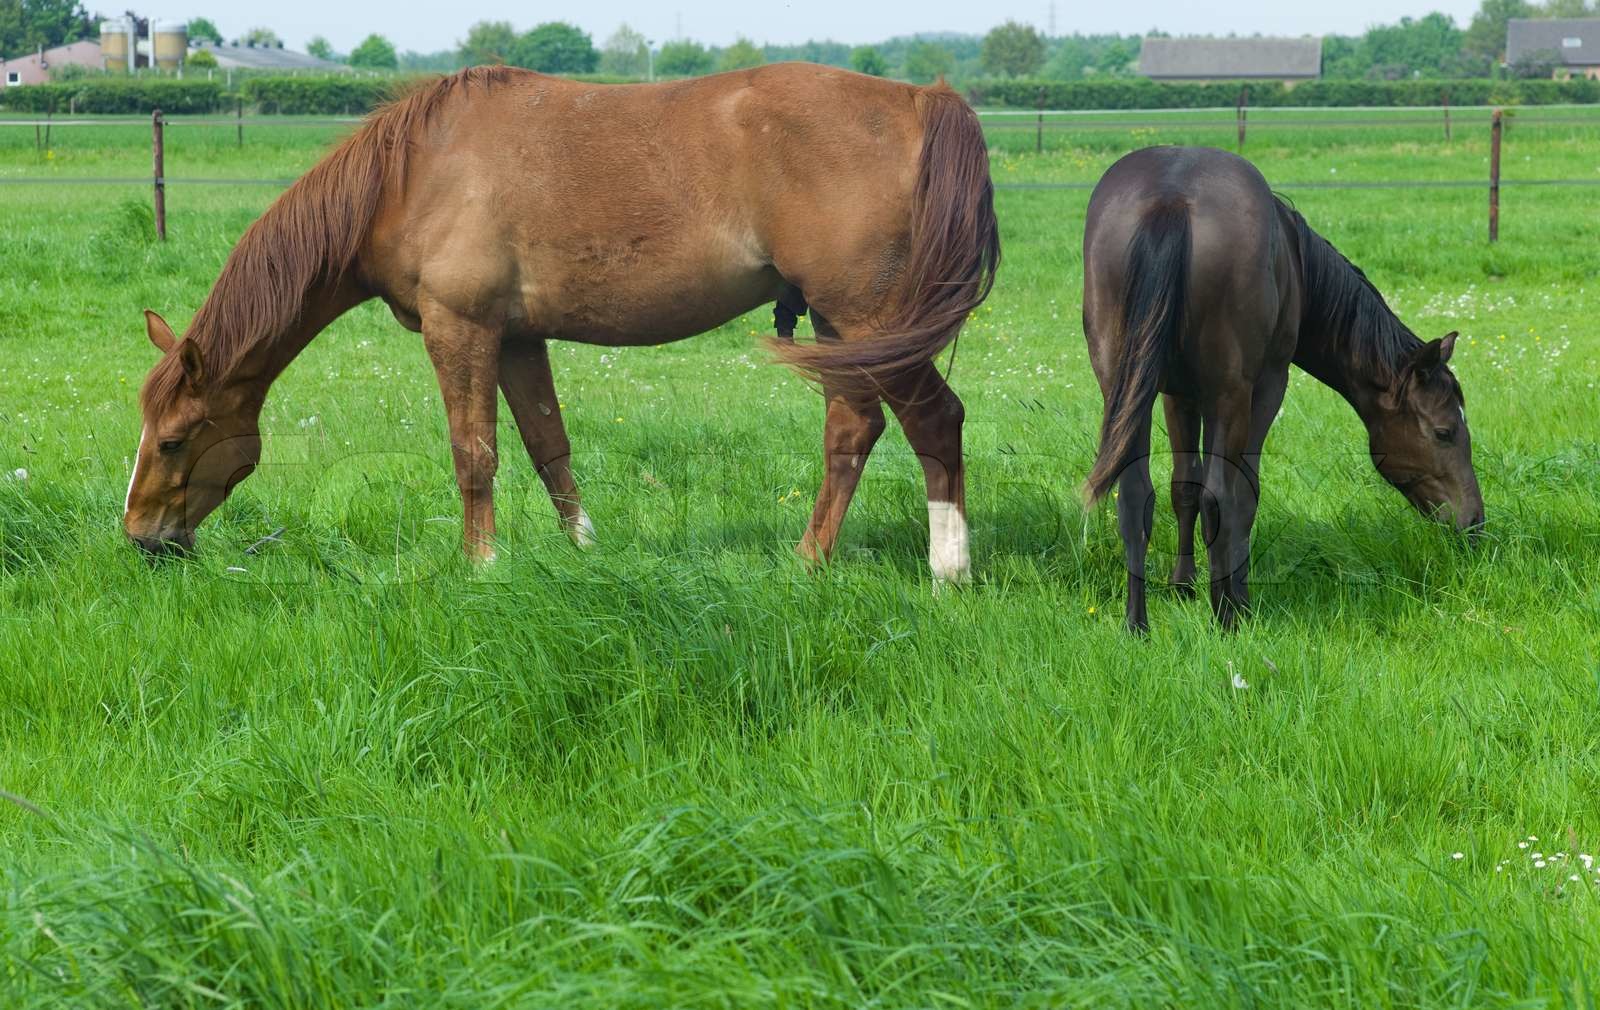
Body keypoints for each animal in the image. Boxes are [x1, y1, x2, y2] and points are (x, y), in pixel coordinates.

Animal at [123, 64, 1000, 583]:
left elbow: (474, 453)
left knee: (933, 421)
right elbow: (549, 448)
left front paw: (479, 565)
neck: (410, 174)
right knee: (853, 432)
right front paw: (582, 550)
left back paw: (947, 569)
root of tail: (920, 101)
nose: (138, 536)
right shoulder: (516, 338)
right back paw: (810, 561)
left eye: (174, 439)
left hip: (867, 322)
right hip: (839, 329)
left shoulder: (461, 330)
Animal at [1082, 146, 1483, 633]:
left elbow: (1184, 488)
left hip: (1124, 395)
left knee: (1135, 494)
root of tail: (1170, 199)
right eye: (1445, 432)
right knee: (1221, 494)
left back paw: (1137, 625)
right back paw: (1227, 617)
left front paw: (1183, 586)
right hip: (1231, 395)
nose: (1474, 522)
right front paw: (1235, 597)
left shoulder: (1177, 396)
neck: (1296, 257)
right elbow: (1242, 494)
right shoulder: (1266, 387)